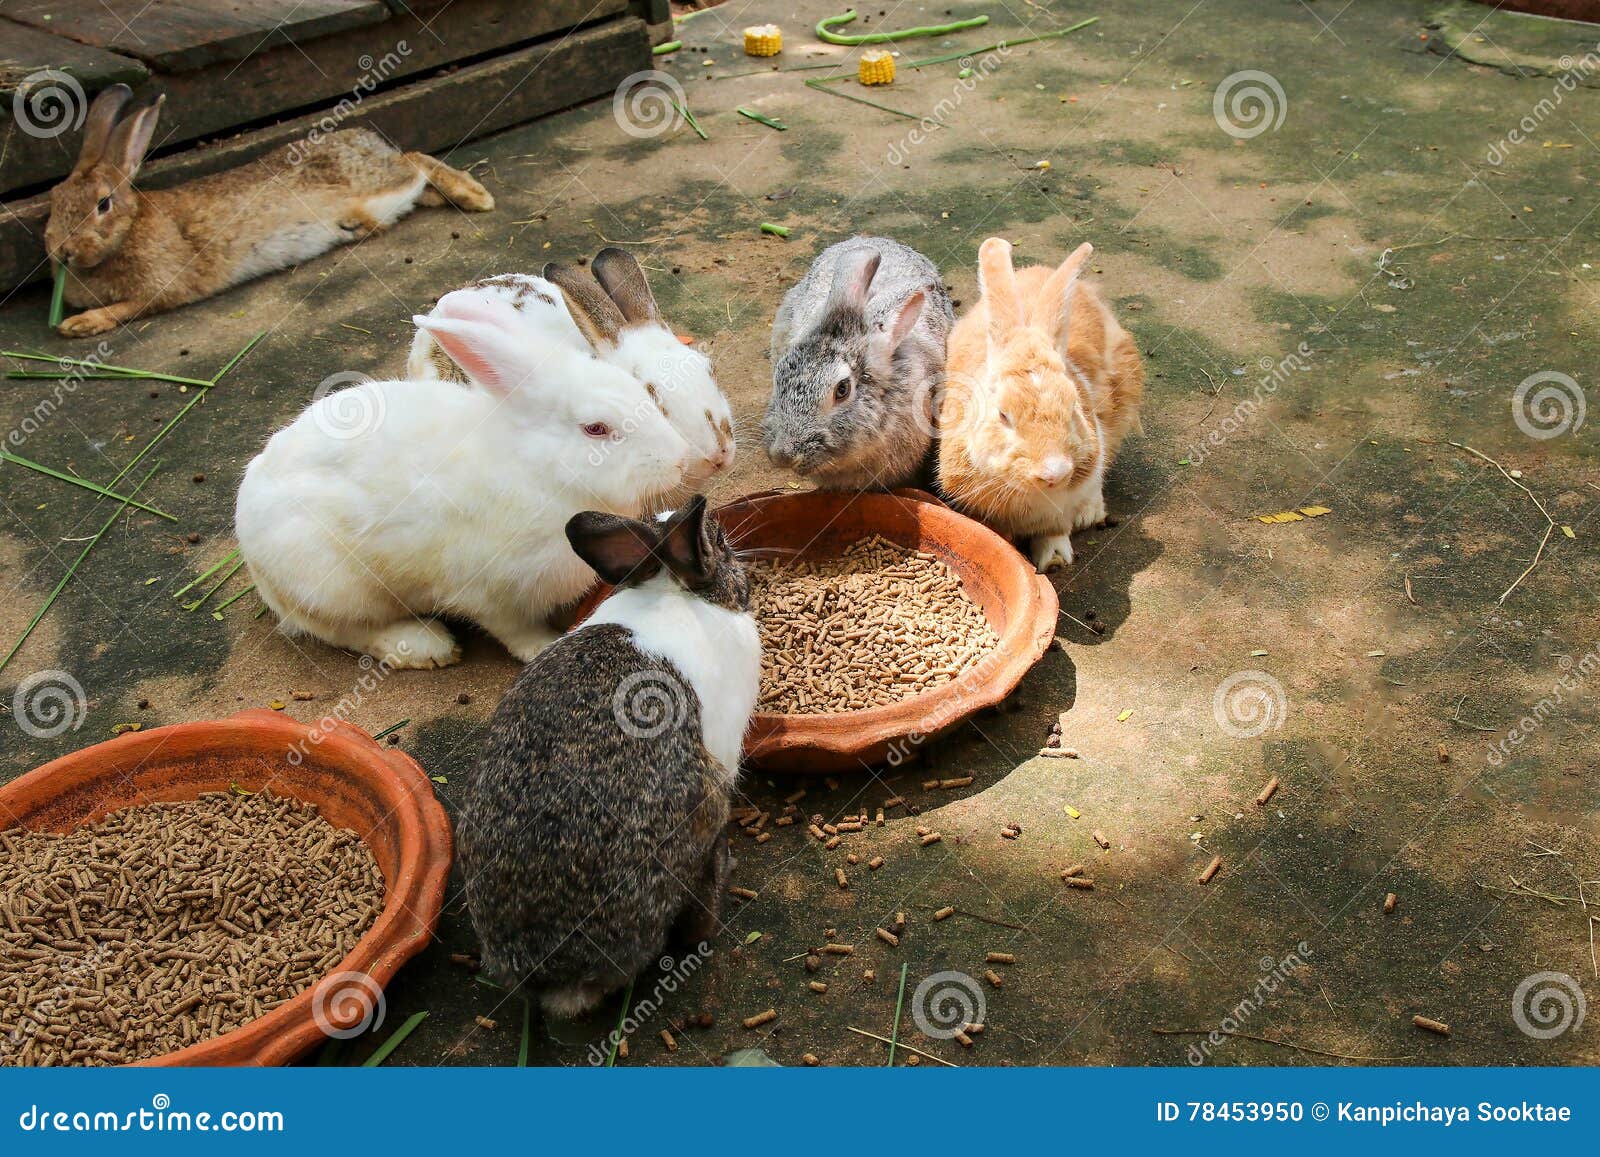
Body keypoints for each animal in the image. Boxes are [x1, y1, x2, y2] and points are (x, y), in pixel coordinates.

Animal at [43, 85, 493, 338]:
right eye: (53, 199)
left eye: (102, 204)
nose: (62, 251)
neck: (129, 228)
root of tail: (366, 139)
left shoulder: (165, 286)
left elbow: (131, 307)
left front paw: (77, 325)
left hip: (379, 185)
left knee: (415, 160)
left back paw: (475, 195)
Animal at [235, 290, 693, 669]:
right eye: (596, 429)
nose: (679, 458)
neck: (537, 467)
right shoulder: (486, 592)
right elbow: (512, 629)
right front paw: (542, 645)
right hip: (335, 584)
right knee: (343, 629)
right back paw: (425, 646)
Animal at [459, 495, 760, 1016]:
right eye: (719, 542)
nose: (745, 575)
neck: (673, 590)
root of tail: (556, 974)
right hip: (705, 804)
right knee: (695, 918)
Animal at [937, 238, 1144, 573]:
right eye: (1003, 415)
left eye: (1073, 408)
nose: (1055, 472)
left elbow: (1054, 531)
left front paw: (1055, 561)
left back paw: (1090, 513)